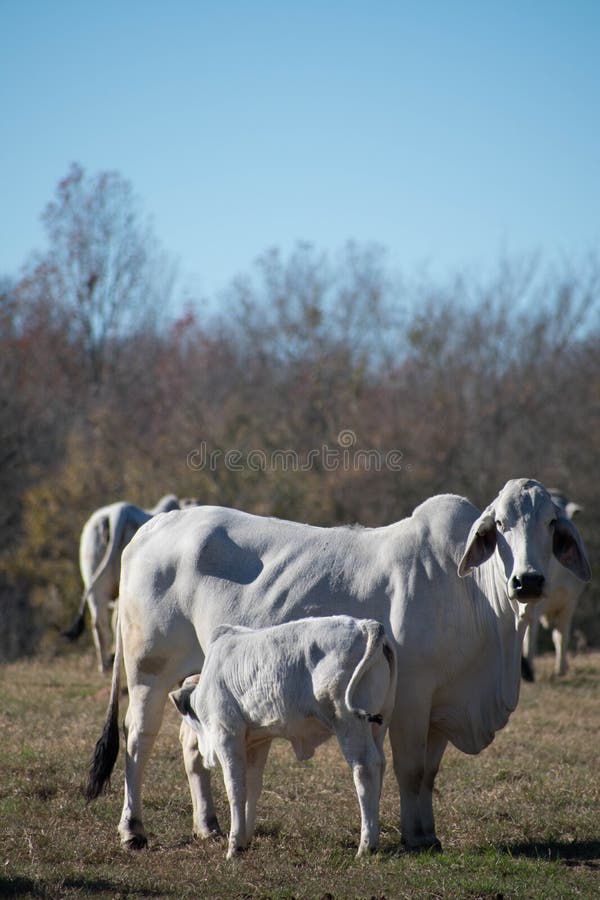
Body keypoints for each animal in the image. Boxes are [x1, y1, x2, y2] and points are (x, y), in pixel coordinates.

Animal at [169, 615, 397, 858]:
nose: (205, 754)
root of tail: (366, 626)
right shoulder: (258, 742)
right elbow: (252, 786)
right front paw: (244, 839)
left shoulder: (227, 737)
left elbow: (235, 788)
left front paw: (233, 846)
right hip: (378, 726)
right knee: (380, 764)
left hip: (349, 723)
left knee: (365, 768)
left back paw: (366, 845)